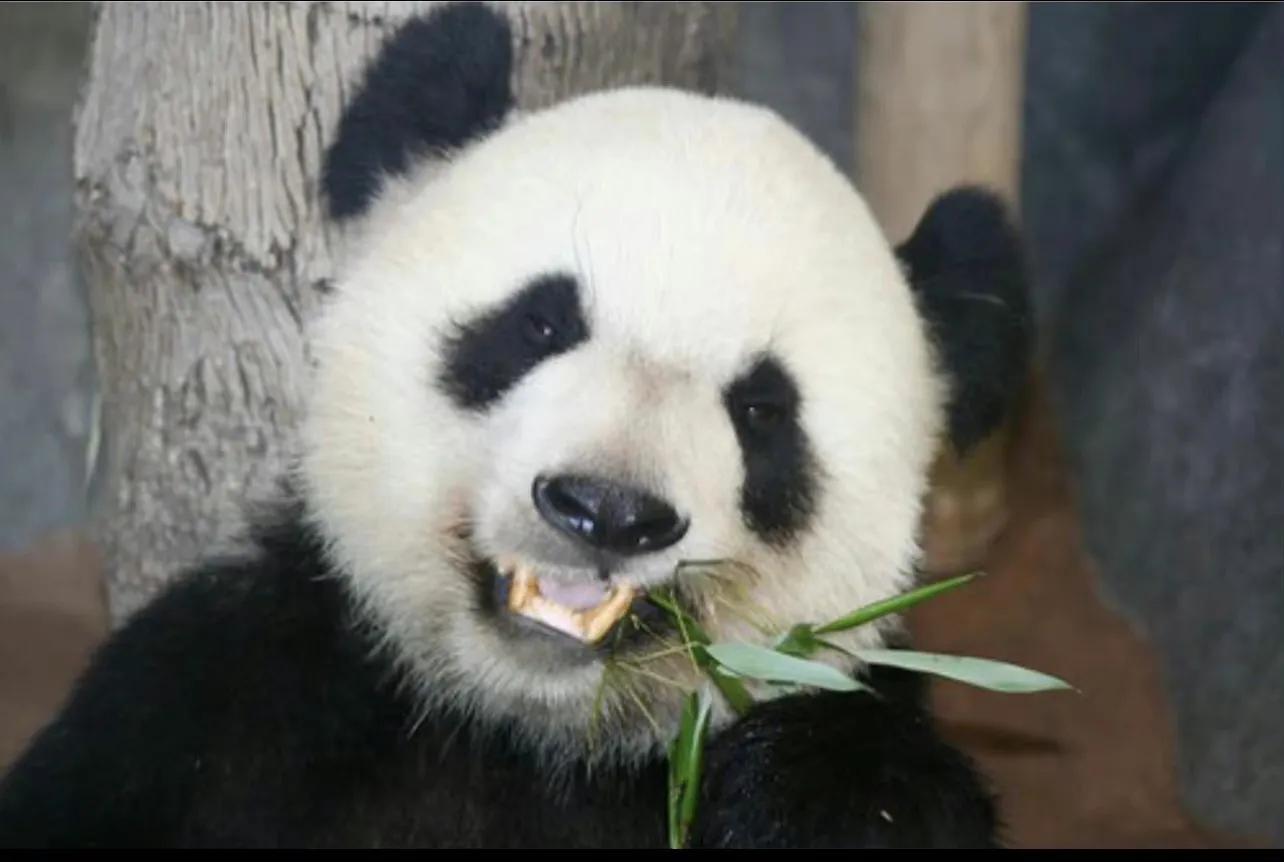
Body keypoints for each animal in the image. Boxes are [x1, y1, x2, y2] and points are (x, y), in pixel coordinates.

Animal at [0, 3, 1032, 849]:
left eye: (763, 410)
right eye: (540, 325)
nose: (607, 511)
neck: (529, 733)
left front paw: (802, 789)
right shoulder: (224, 705)